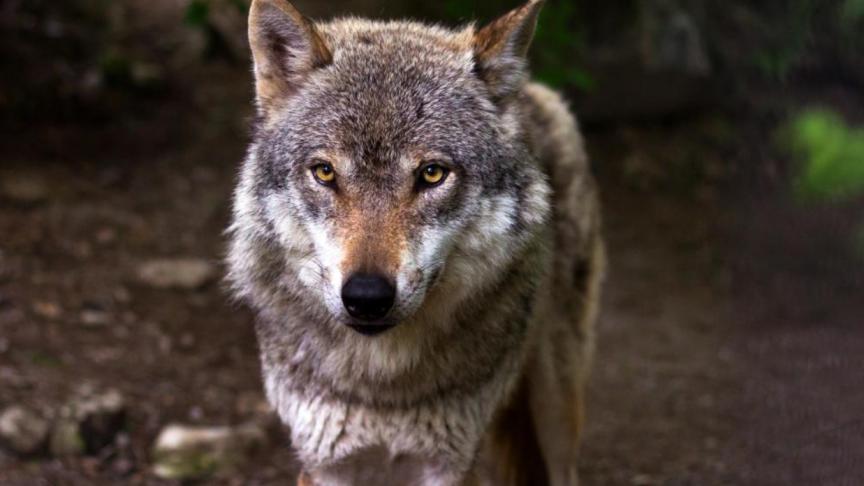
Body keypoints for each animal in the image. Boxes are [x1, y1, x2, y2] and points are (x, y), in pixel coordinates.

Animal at [226, 0, 604, 484]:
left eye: (432, 174)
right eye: (325, 172)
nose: (367, 297)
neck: (383, 386)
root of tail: (533, 91)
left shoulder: (451, 463)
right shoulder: (325, 462)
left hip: (556, 411)